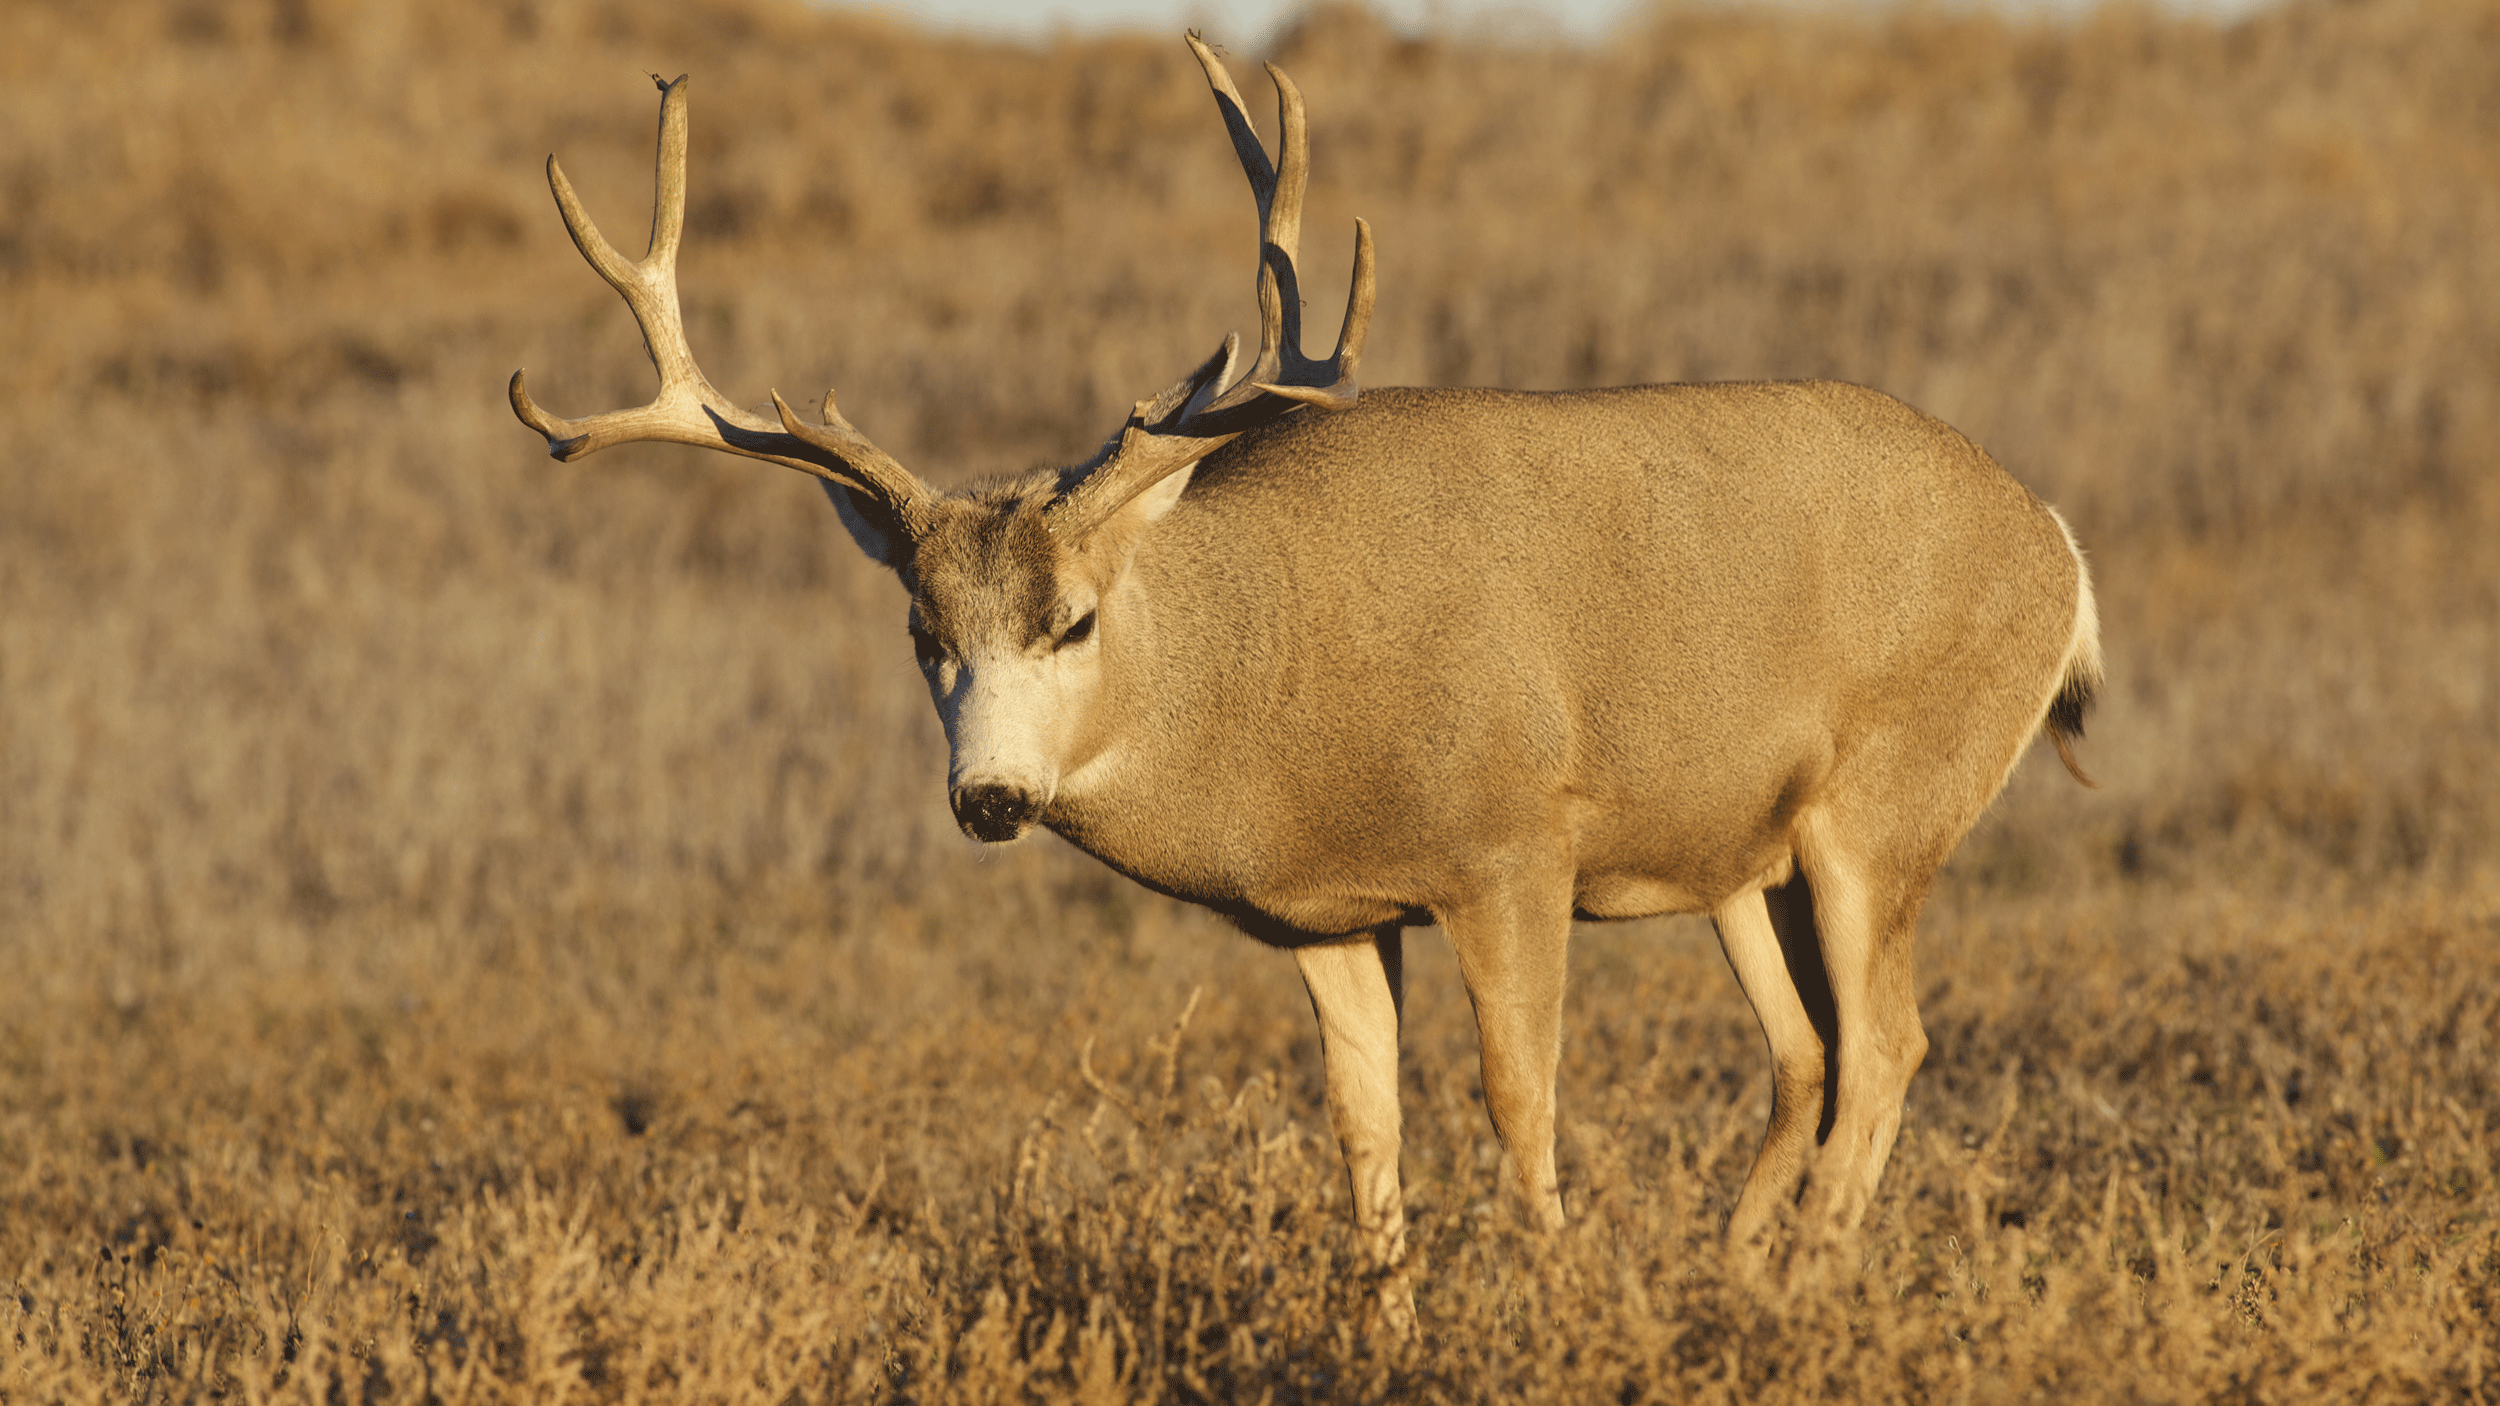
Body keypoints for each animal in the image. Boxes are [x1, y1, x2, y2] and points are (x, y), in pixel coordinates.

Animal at [510, 35, 2101, 1323]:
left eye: (1073, 620)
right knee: (1806, 1053)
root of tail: (2058, 545)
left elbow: (1518, 1098)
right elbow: (1365, 1130)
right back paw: (1736, 1273)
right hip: (1740, 858)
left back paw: (1805, 1287)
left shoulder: (1512, 843)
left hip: (1883, 805)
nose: (989, 796)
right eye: (922, 635)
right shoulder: (1328, 913)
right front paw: (1389, 1328)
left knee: (1885, 1042)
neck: (1286, 683)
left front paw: (1545, 1308)